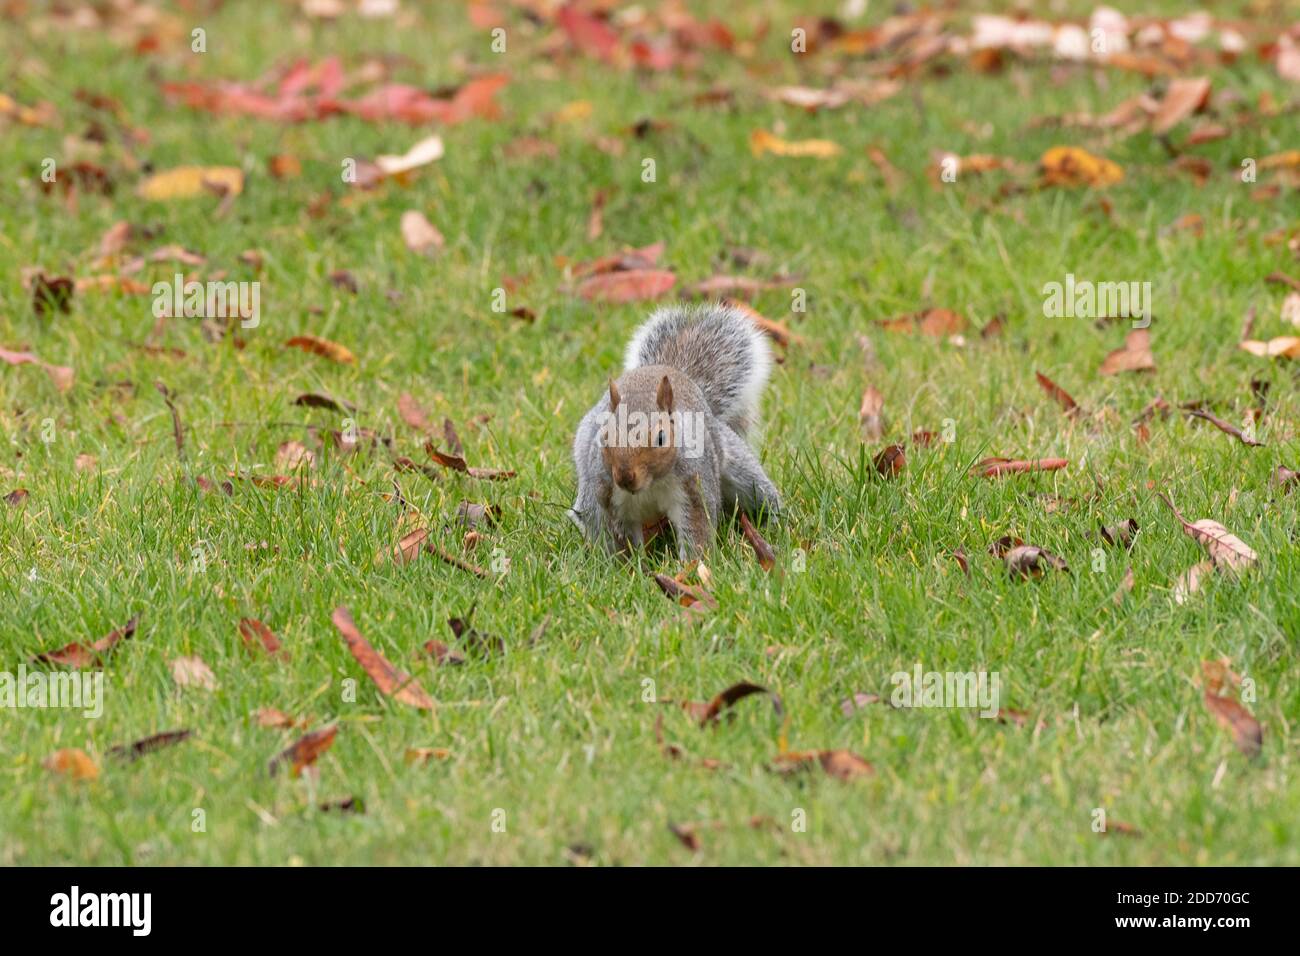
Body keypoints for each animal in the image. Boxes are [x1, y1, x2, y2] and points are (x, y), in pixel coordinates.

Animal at [569, 303, 781, 558]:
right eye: (605, 436)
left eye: (661, 438)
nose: (626, 477)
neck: (650, 483)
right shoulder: (610, 498)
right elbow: (622, 540)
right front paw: (632, 565)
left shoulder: (694, 487)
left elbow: (696, 529)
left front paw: (694, 565)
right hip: (590, 495)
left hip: (742, 473)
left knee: (758, 493)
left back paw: (774, 523)